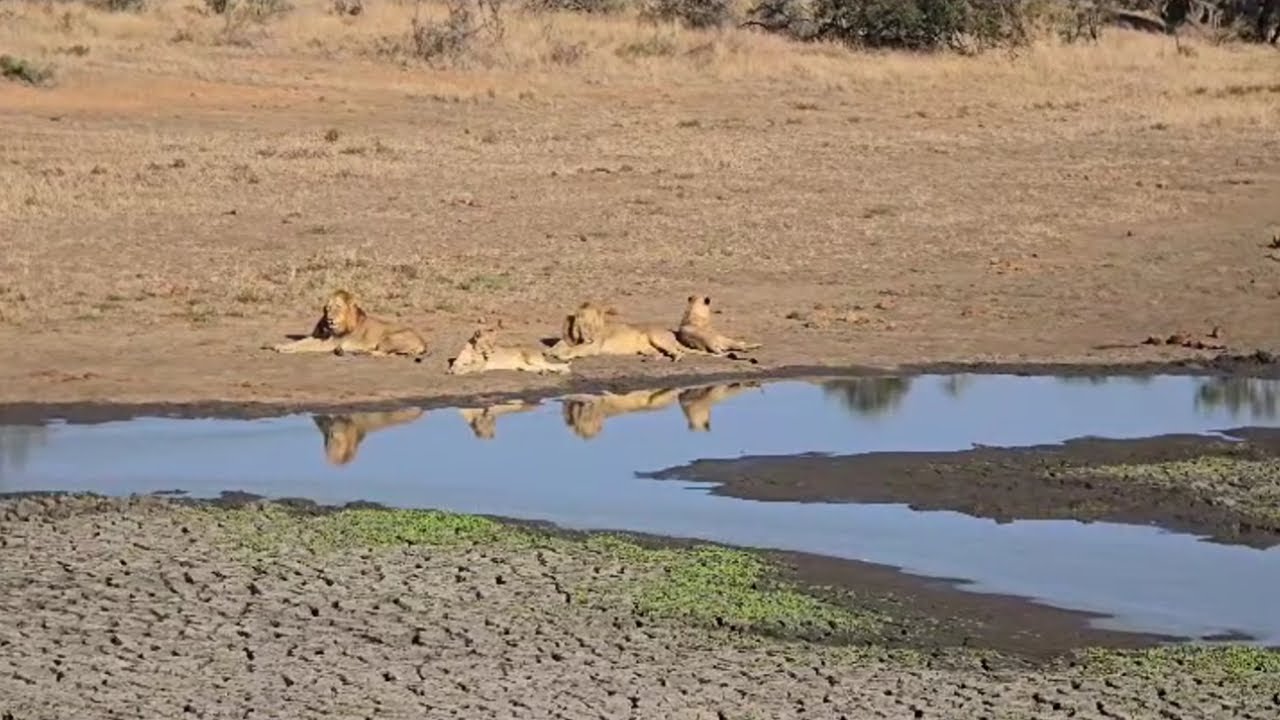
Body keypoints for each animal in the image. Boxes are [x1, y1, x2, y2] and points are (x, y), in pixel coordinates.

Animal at [269, 289, 428, 358]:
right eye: (328, 308)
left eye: (338, 307)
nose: (329, 320)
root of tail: (423, 342)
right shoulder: (321, 337)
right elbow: (302, 341)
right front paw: (280, 345)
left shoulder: (330, 342)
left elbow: (306, 346)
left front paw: (286, 350)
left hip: (389, 338)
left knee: (382, 353)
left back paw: (360, 352)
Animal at [547, 301, 686, 362]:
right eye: (586, 326)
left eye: (595, 326)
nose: (591, 338)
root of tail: (669, 332)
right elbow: (561, 343)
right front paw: (550, 351)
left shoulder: (593, 346)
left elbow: (576, 349)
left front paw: (563, 355)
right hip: (646, 348)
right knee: (659, 353)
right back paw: (653, 358)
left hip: (655, 337)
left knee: (678, 352)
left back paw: (675, 358)